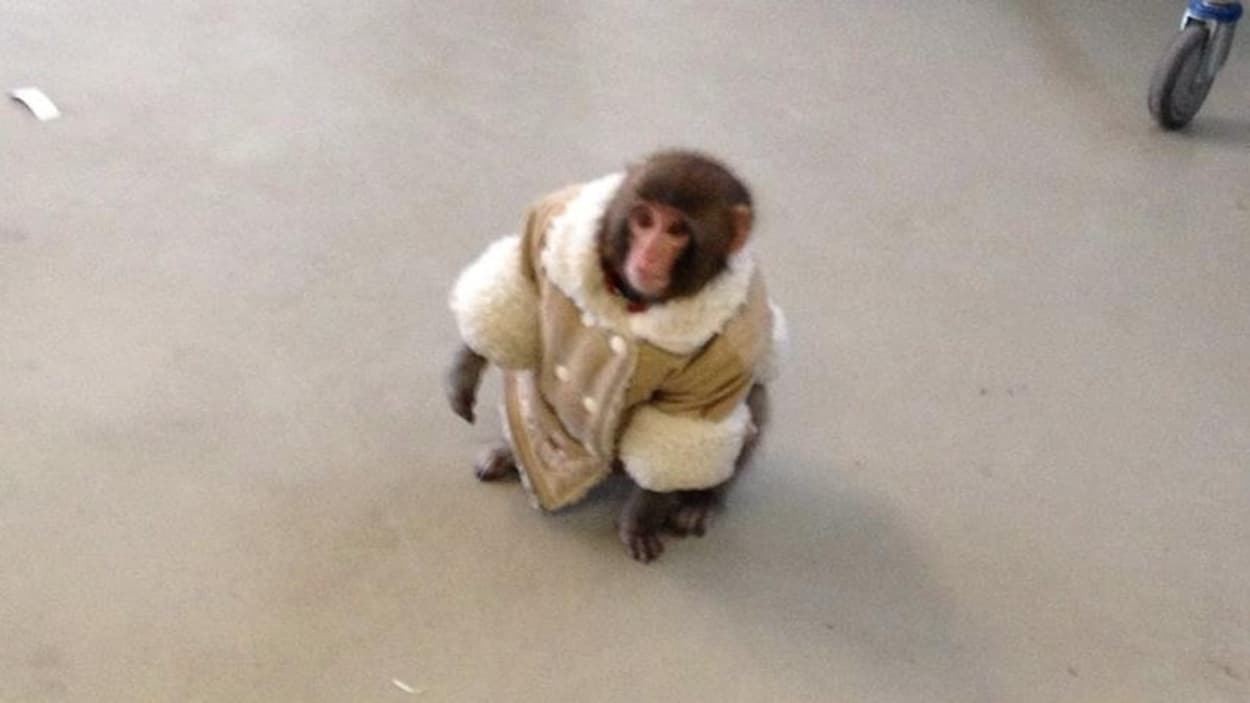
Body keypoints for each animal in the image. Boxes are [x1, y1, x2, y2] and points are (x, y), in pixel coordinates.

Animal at [445, 150, 786, 563]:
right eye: (644, 220)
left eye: (676, 230)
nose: (648, 254)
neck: (630, 299)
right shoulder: (547, 222)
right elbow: (519, 283)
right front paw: (464, 369)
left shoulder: (727, 353)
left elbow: (676, 433)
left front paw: (639, 521)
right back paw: (512, 452)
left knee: (751, 410)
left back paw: (699, 502)